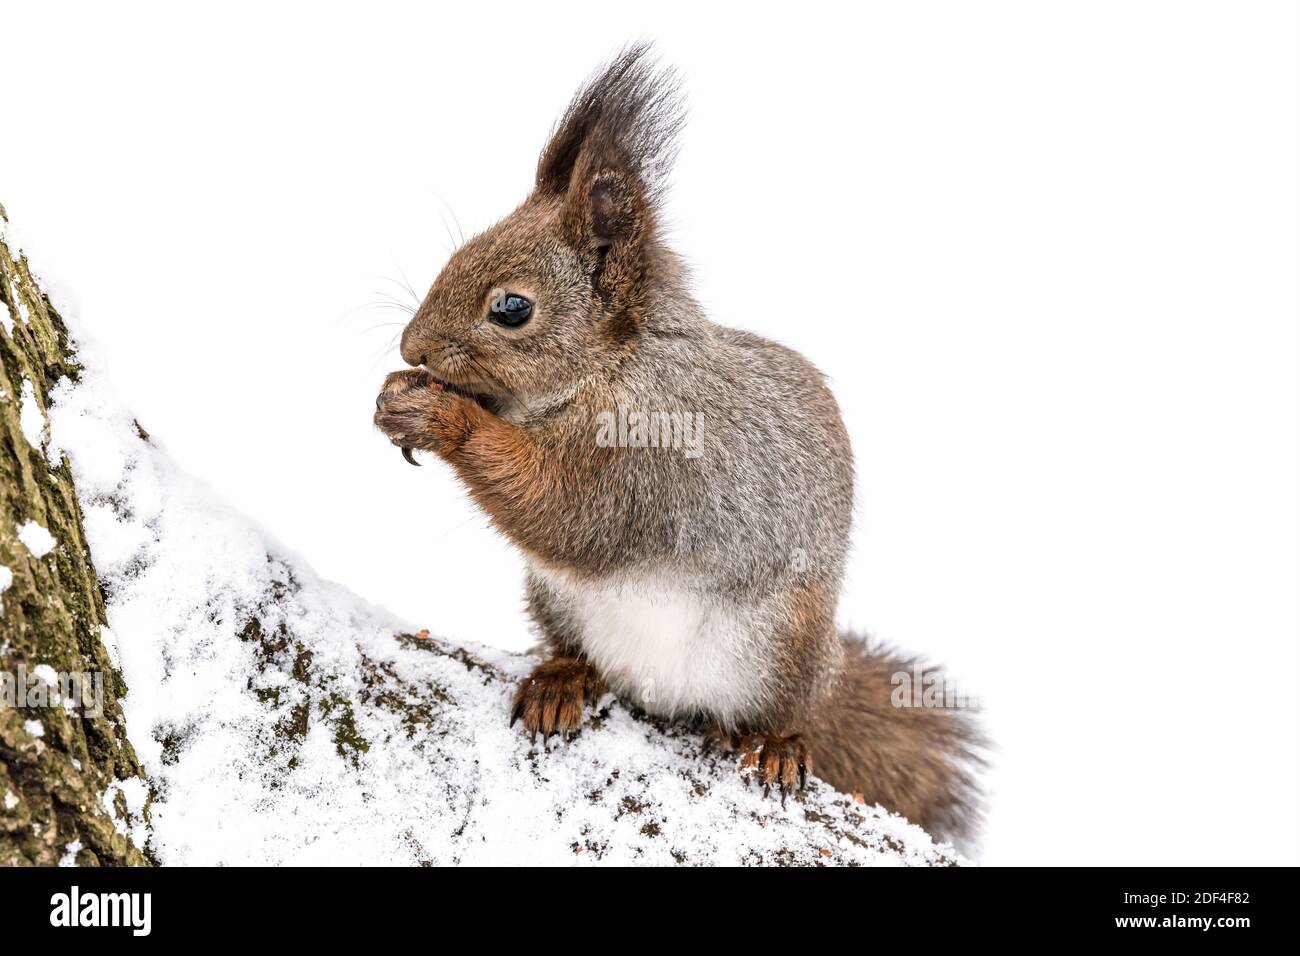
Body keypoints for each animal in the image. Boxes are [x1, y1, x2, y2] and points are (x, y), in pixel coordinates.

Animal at [374, 44, 982, 839]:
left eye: (511, 308)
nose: (411, 348)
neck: (613, 369)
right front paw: (398, 397)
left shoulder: (654, 458)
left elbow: (565, 512)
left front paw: (441, 416)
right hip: (556, 604)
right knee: (580, 655)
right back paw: (565, 678)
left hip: (786, 645)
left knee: (789, 711)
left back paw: (775, 744)